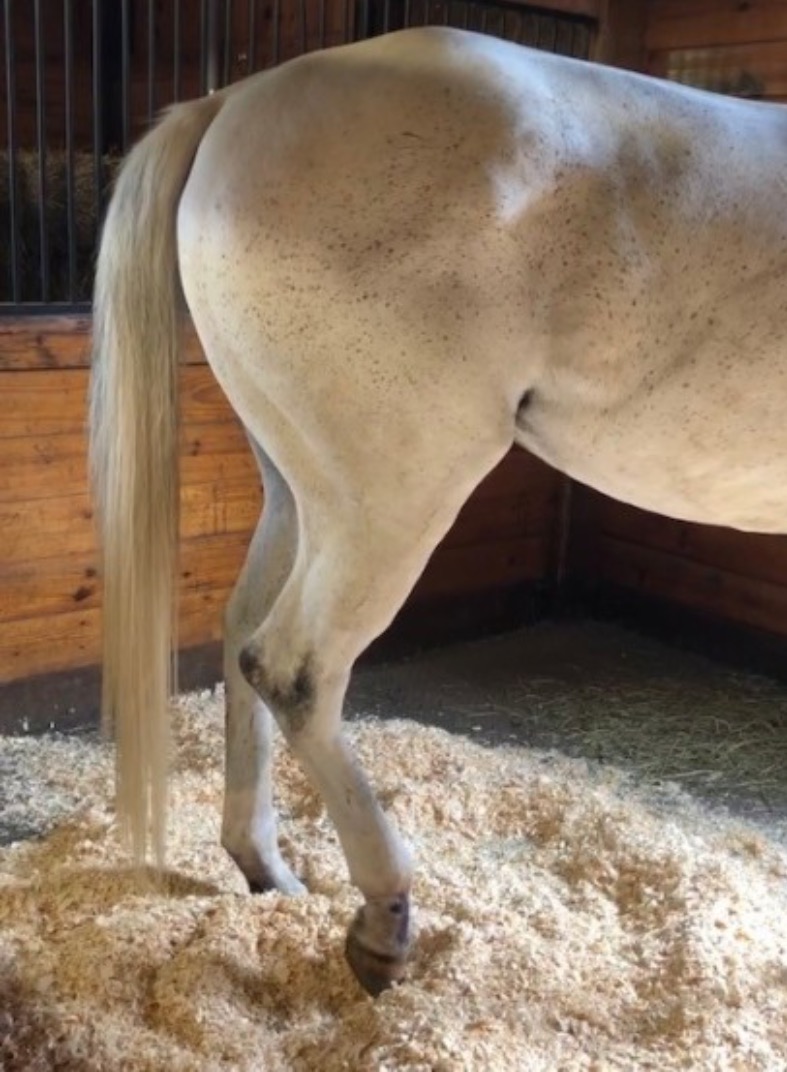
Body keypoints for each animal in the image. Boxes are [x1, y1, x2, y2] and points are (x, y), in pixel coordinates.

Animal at [89, 26, 787, 996]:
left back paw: (265, 867)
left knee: (240, 636)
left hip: (301, 490)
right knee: (293, 669)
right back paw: (383, 920)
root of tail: (235, 99)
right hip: (392, 496)